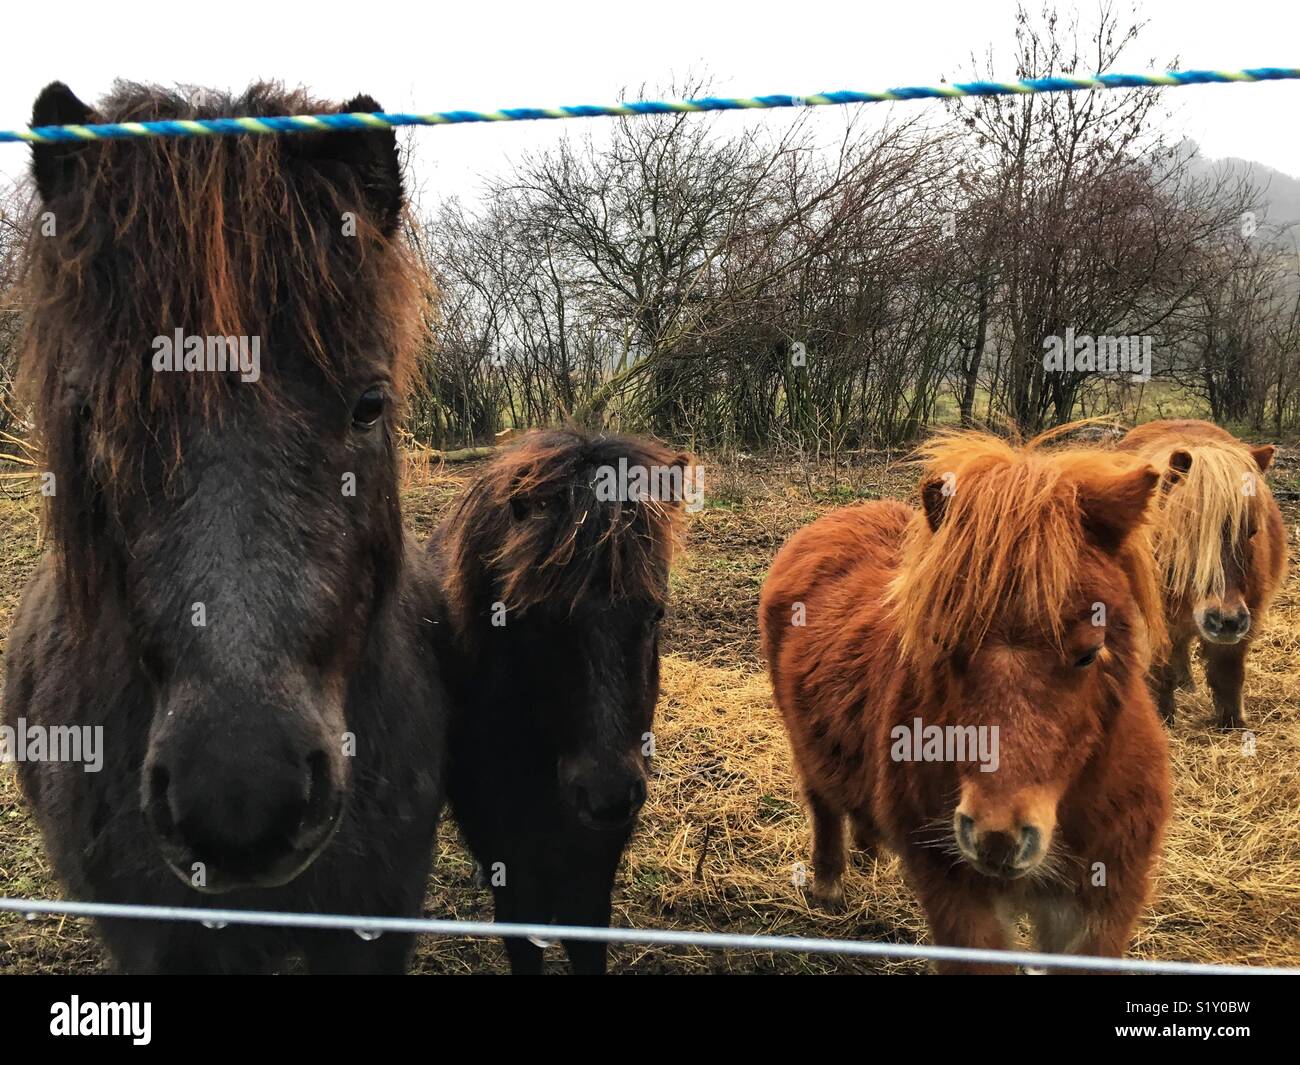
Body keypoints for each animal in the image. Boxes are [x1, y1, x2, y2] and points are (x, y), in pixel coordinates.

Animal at [760, 430, 1171, 973]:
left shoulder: (1100, 906)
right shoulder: (959, 899)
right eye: (944, 644)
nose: (998, 837)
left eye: (1088, 653)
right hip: (803, 743)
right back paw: (828, 885)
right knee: (823, 801)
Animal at [1115, 420, 1286, 730]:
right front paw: (1162, 717)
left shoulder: (1248, 616)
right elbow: (1160, 666)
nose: (1226, 620)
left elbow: (1227, 671)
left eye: (1252, 530)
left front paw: (1232, 722)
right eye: (1187, 532)